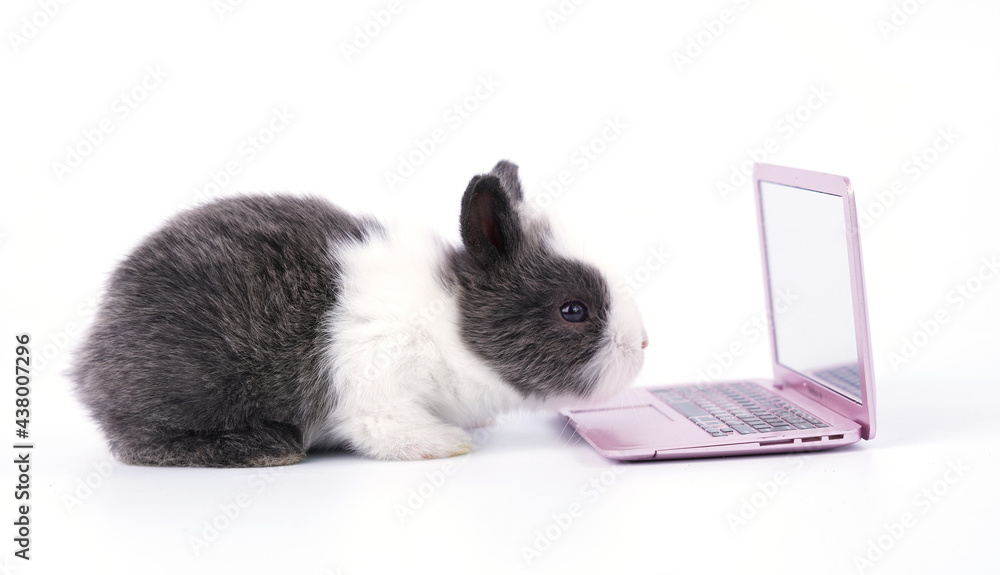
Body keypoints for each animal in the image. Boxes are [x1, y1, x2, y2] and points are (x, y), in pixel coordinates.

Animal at [71, 160, 647, 467]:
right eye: (573, 310)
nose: (642, 345)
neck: (448, 326)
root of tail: (88, 363)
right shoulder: (378, 390)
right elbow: (389, 431)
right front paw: (447, 445)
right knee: (140, 441)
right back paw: (269, 447)